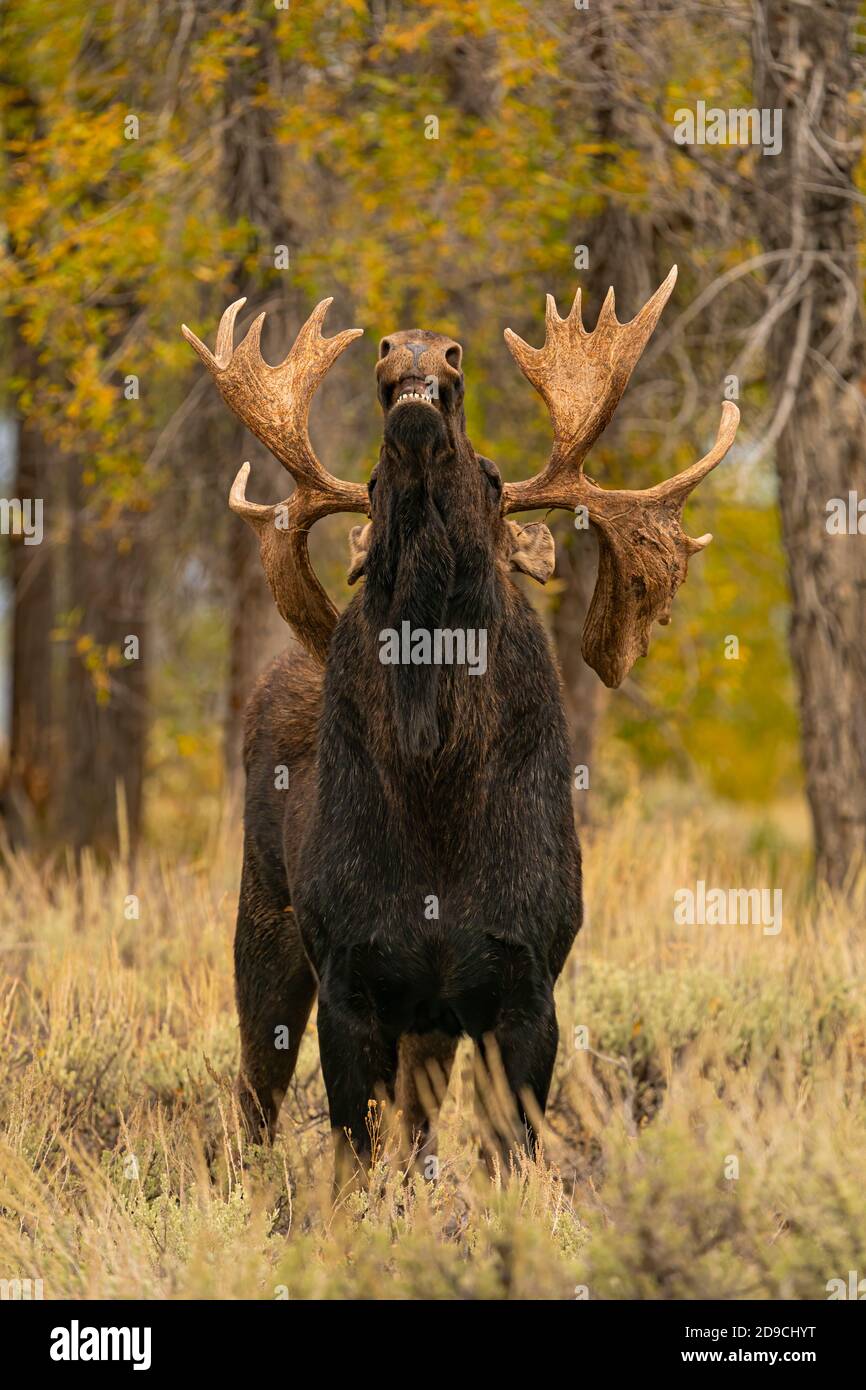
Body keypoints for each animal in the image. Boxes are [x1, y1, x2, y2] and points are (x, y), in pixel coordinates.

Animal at [182, 268, 739, 1180]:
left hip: (428, 1023)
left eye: (492, 476)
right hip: (262, 920)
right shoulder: (351, 981)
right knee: (255, 1099)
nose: (417, 346)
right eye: (372, 485)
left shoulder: (526, 985)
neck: (437, 800)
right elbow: (353, 1161)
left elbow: (512, 1154)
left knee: (412, 1123)